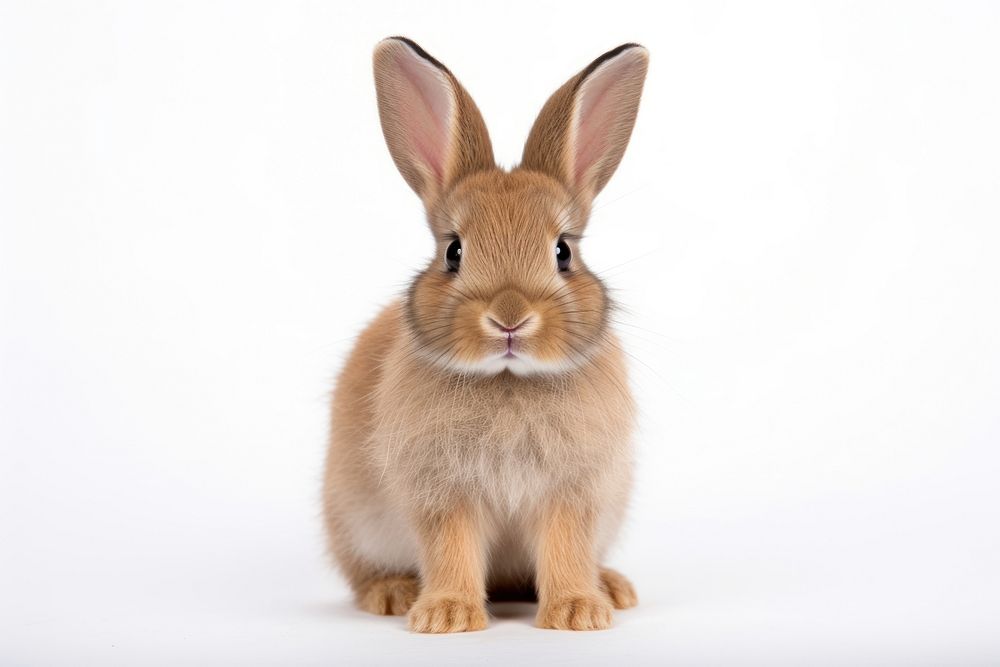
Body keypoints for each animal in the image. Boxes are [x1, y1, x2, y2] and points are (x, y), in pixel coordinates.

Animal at [322, 36, 648, 633]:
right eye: (454, 251)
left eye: (563, 251)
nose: (509, 317)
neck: (508, 380)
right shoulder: (442, 491)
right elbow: (451, 548)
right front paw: (447, 616)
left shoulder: (572, 492)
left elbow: (566, 548)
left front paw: (577, 612)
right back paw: (393, 594)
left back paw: (612, 588)